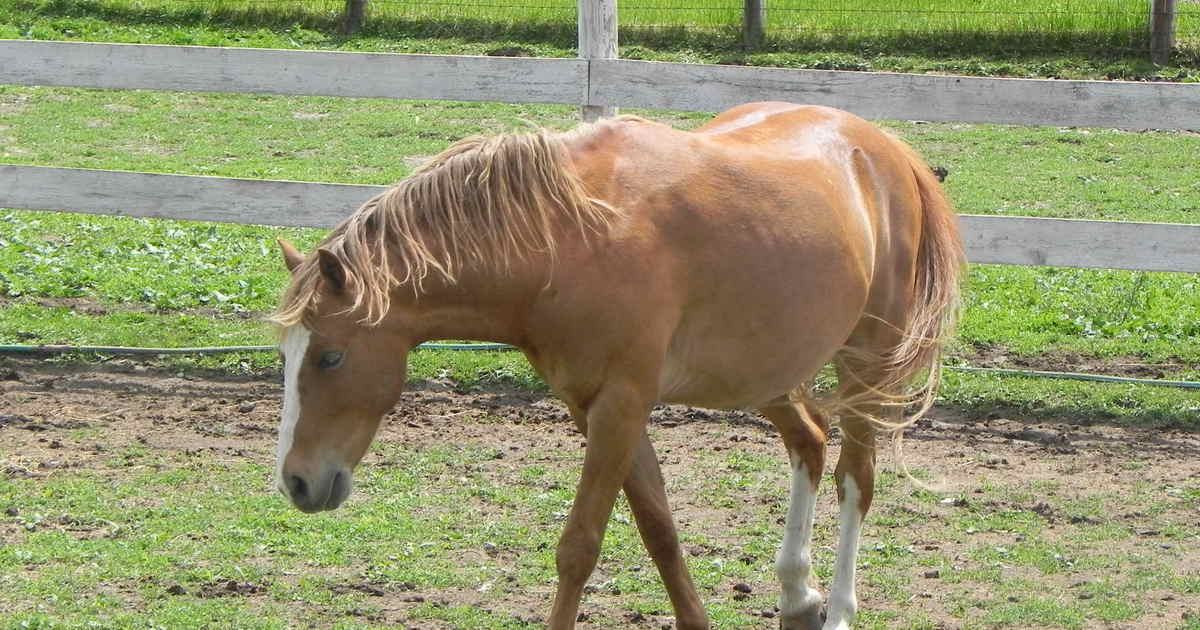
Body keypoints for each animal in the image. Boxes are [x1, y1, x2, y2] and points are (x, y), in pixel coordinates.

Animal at [270, 101, 964, 630]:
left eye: (331, 355)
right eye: (286, 355)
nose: (297, 482)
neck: (567, 240)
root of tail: (887, 152)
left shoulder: (622, 405)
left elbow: (579, 547)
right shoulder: (594, 408)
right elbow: (659, 530)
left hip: (866, 365)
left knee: (855, 478)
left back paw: (840, 608)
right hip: (766, 369)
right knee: (811, 443)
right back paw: (798, 595)